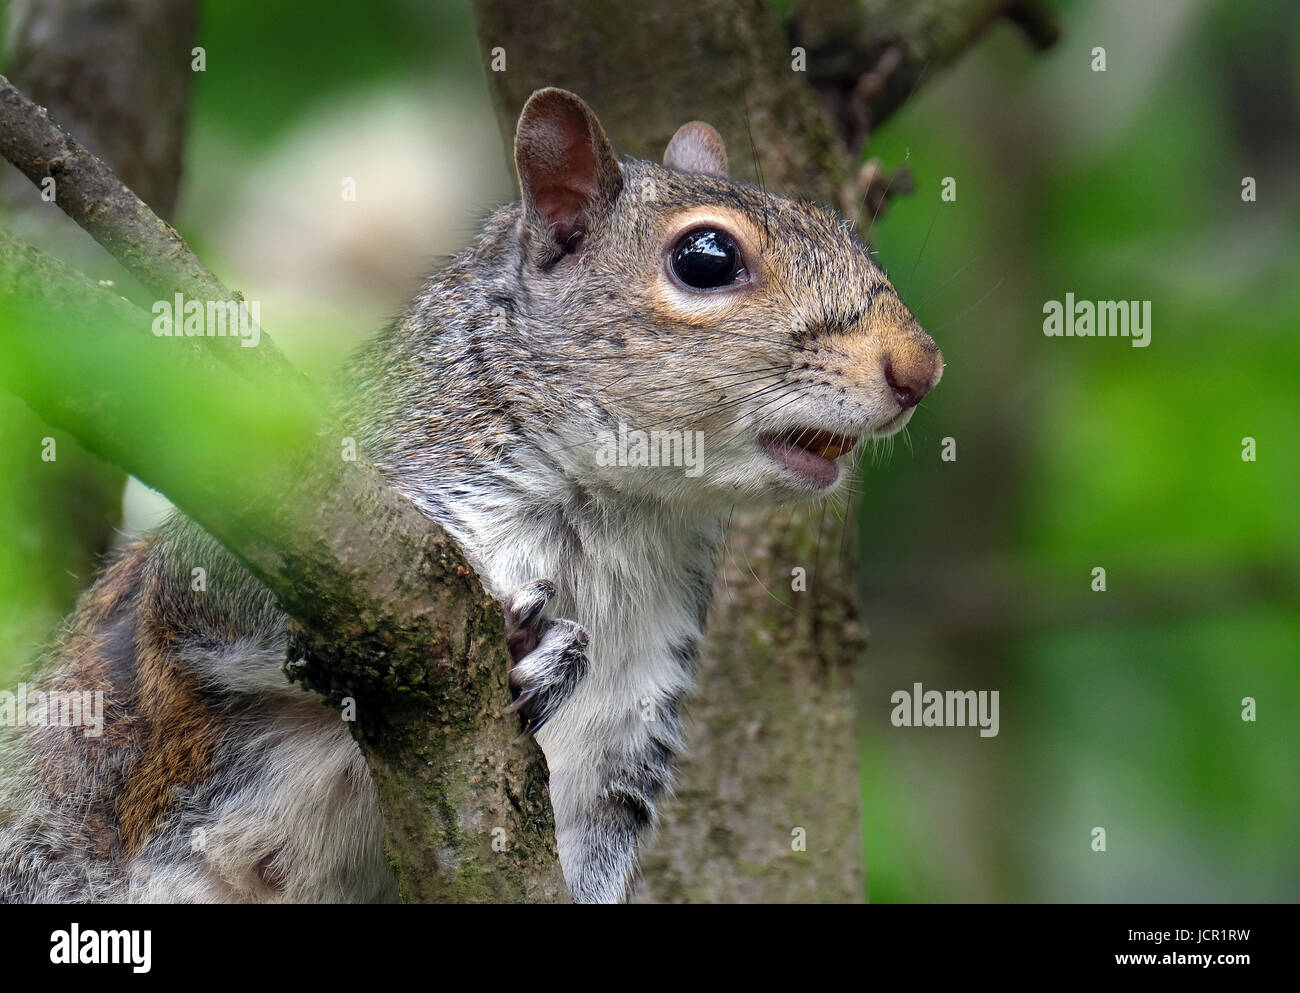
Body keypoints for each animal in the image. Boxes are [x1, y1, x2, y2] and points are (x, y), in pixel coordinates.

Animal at [0, 88, 942, 903]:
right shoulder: (307, 483)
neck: (619, 514)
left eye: (847, 229)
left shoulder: (624, 734)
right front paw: (528, 636)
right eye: (705, 258)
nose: (920, 368)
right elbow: (225, 601)